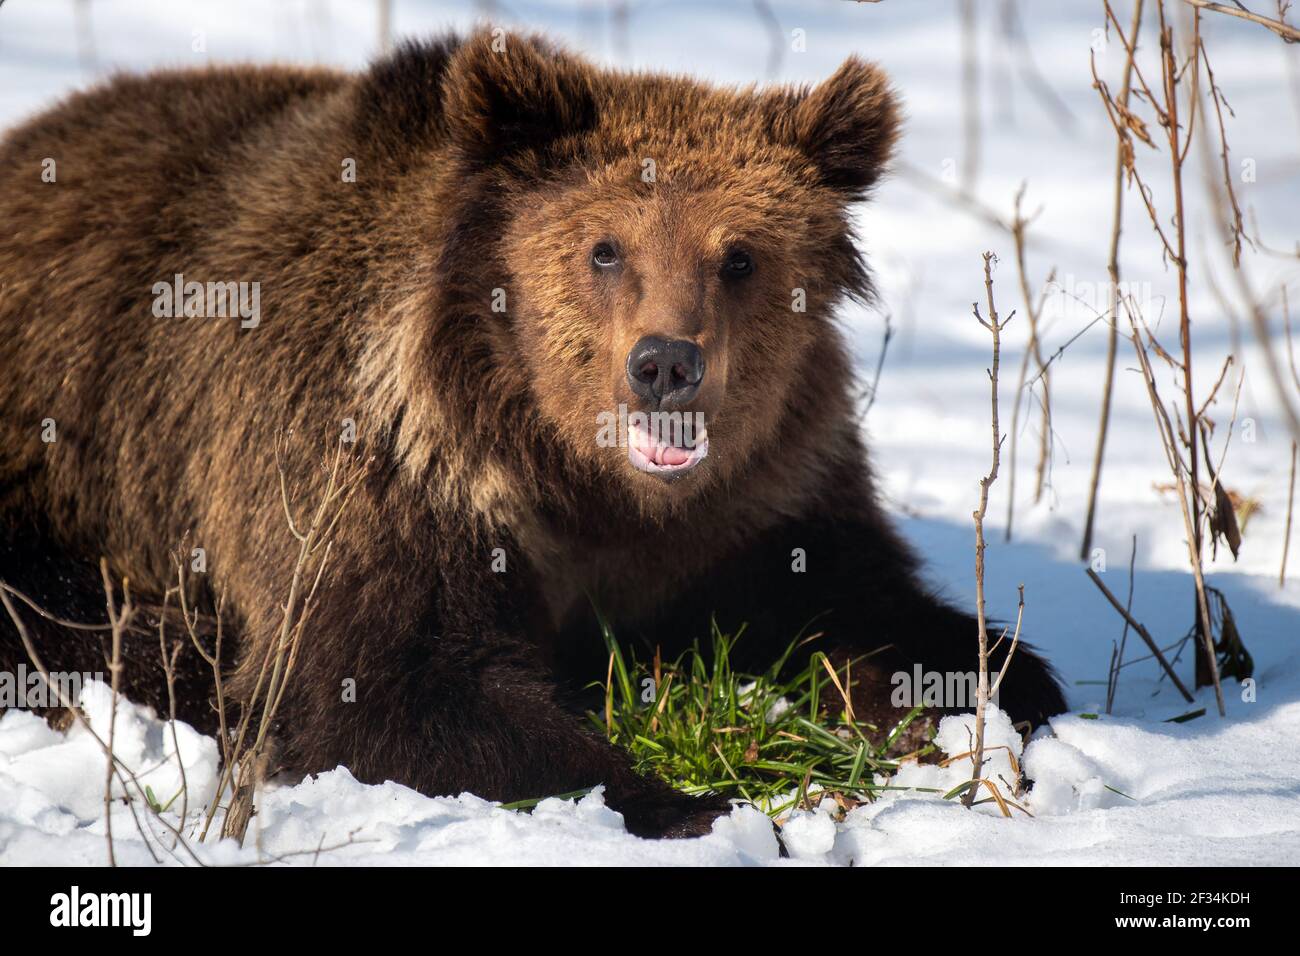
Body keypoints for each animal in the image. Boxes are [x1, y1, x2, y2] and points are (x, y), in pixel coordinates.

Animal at [0, 31, 1065, 837]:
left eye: (740, 256)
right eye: (605, 248)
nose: (665, 364)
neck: (577, 479)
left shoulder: (762, 499)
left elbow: (874, 614)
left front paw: (996, 703)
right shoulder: (389, 476)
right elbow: (384, 684)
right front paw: (687, 799)